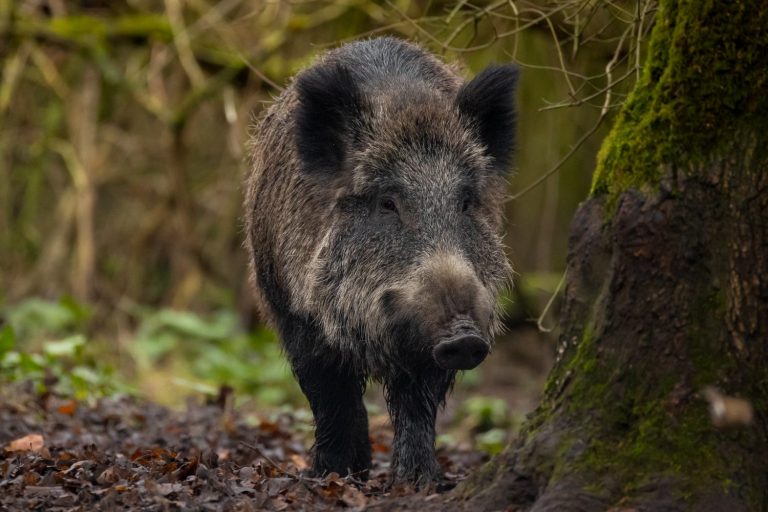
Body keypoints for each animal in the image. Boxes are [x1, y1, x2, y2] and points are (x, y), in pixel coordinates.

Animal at [244, 37, 517, 484]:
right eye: (388, 203)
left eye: (464, 202)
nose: (464, 336)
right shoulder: (297, 317)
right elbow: (331, 395)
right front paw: (334, 475)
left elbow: (418, 401)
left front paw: (418, 480)